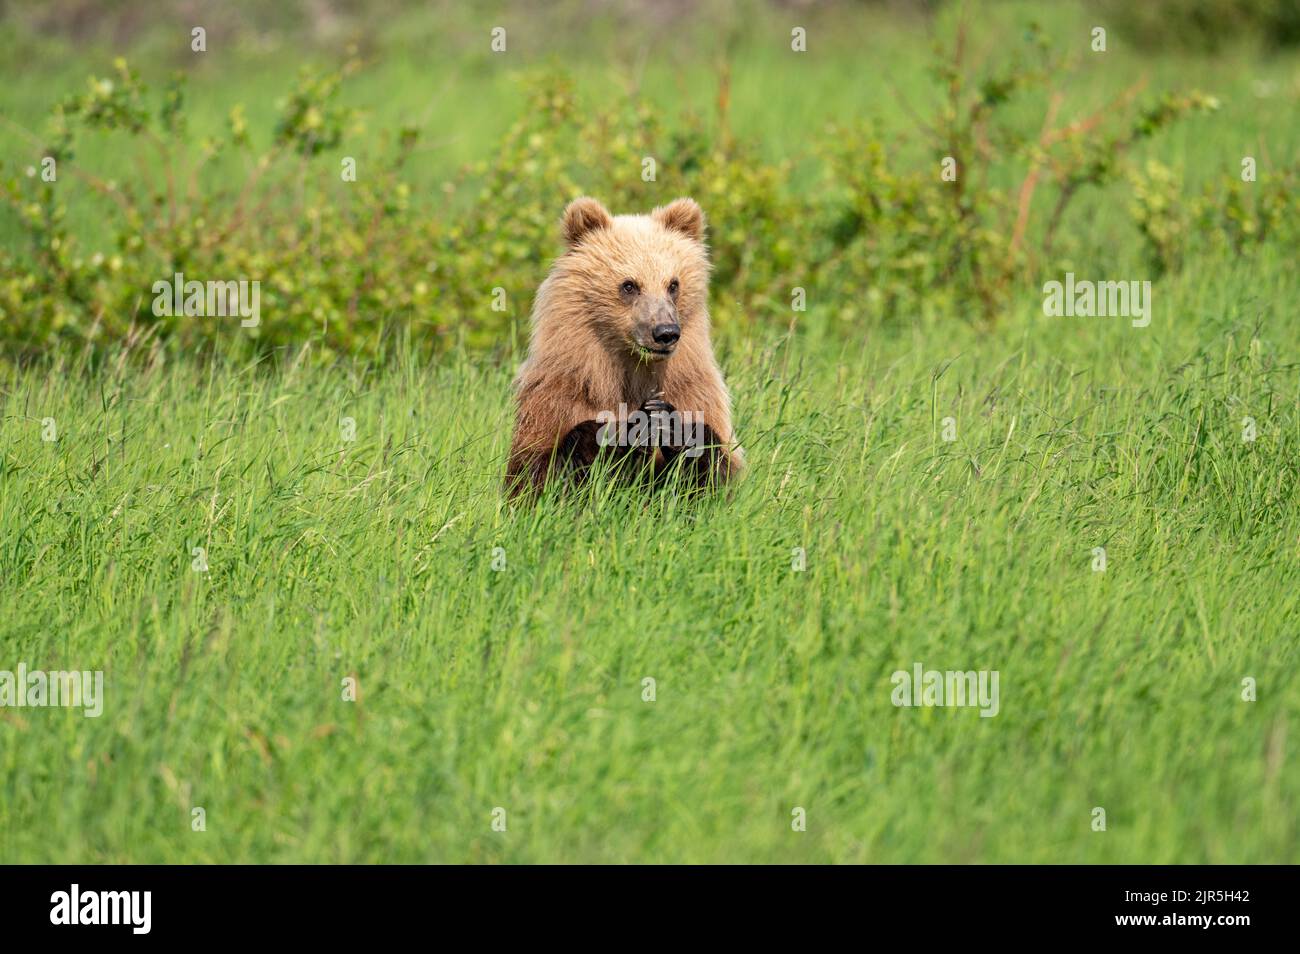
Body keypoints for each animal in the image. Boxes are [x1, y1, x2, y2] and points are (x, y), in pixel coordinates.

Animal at [505, 196, 743, 499]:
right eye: (629, 285)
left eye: (673, 284)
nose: (665, 333)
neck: (632, 370)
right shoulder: (561, 392)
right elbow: (535, 475)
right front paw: (628, 428)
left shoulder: (692, 388)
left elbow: (716, 473)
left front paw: (671, 425)